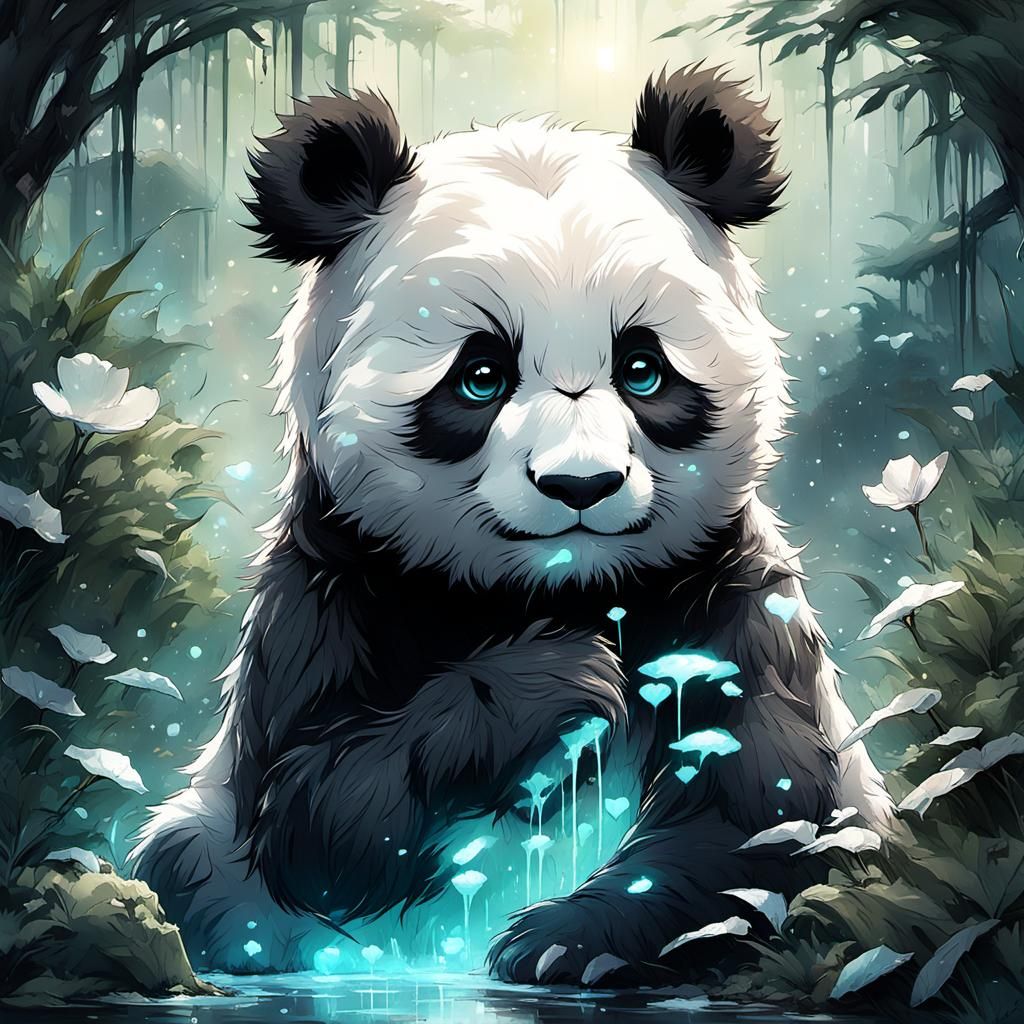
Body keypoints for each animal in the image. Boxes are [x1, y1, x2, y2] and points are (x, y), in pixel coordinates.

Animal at [131, 65, 892, 986]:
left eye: (643, 368)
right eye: (481, 375)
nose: (580, 484)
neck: (554, 586)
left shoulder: (726, 590)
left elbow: (761, 809)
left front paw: (563, 941)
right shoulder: (332, 584)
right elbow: (322, 811)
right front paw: (567, 681)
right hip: (210, 840)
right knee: (191, 866)